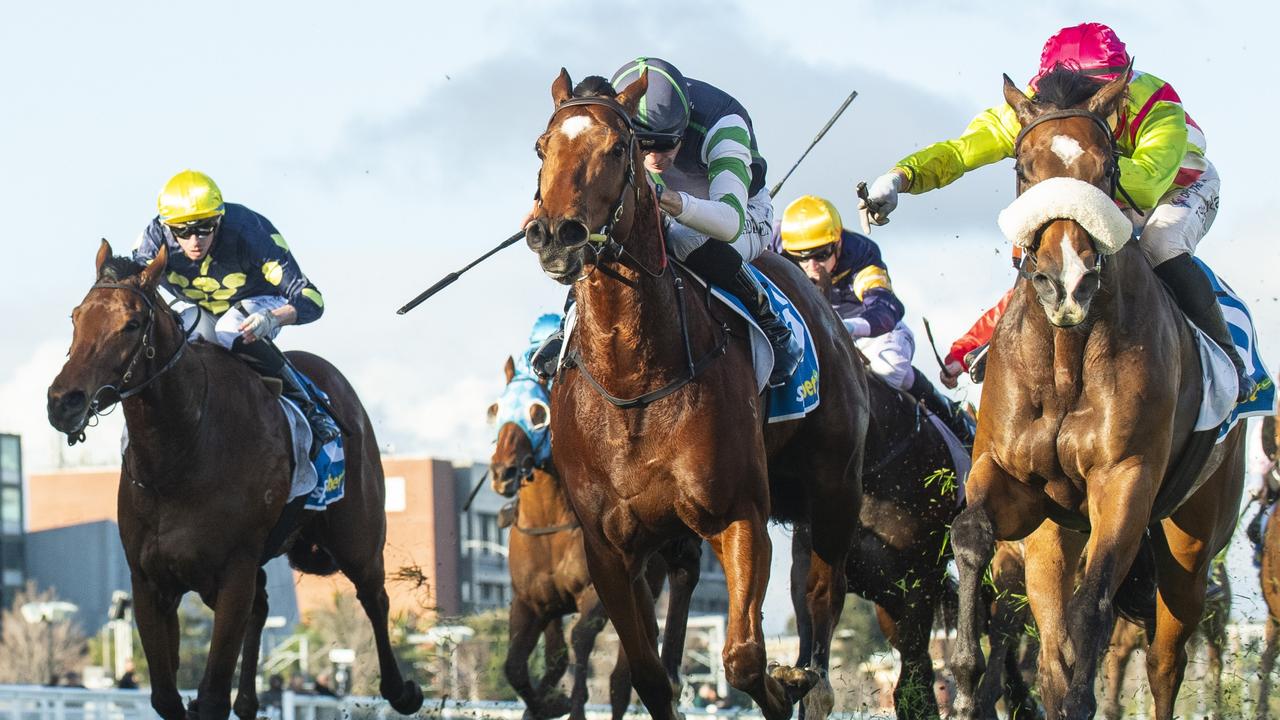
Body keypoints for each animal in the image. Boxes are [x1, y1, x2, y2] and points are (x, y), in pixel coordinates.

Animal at [46, 242, 423, 720]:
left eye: (131, 324)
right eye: (76, 316)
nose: (63, 402)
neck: (182, 454)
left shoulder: (233, 570)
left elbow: (210, 697)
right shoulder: (151, 581)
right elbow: (166, 696)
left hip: (358, 538)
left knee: (374, 598)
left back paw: (402, 690)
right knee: (262, 606)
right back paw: (249, 700)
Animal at [486, 355, 701, 719]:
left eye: (537, 413)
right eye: (496, 409)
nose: (503, 472)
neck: (549, 526)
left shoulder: (595, 592)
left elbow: (580, 641)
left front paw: (567, 704)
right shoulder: (530, 602)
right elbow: (516, 665)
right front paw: (547, 703)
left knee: (620, 680)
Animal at [524, 69, 868, 720]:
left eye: (619, 149)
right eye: (541, 147)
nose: (556, 234)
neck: (634, 381)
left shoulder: (739, 514)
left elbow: (744, 658)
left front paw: (783, 686)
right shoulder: (610, 550)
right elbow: (649, 675)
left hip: (836, 485)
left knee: (822, 591)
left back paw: (812, 678)